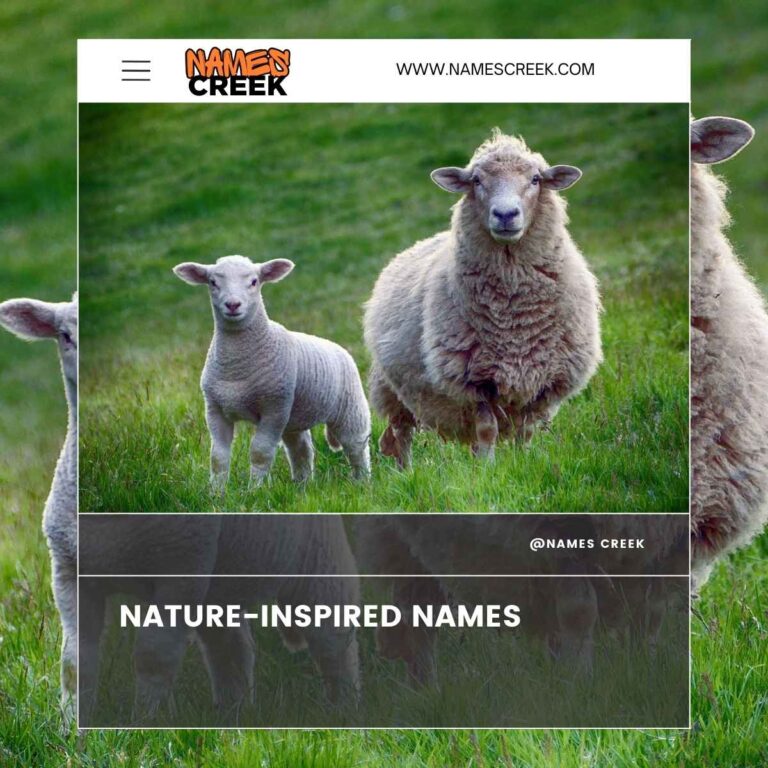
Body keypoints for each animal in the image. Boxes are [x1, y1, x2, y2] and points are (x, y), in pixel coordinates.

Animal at [78, 514, 361, 725]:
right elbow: (81, 660)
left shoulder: (181, 570)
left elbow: (153, 656)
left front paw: (144, 722)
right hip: (222, 579)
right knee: (231, 648)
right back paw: (232, 715)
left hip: (318, 558)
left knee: (332, 639)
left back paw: (343, 710)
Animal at [173, 255, 371, 488]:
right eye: (213, 282)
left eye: (254, 282)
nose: (233, 305)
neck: (235, 366)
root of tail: (339, 348)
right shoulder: (215, 409)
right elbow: (218, 457)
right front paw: (216, 492)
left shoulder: (274, 408)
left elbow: (260, 452)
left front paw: (254, 490)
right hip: (294, 418)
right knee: (301, 449)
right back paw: (302, 485)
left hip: (350, 407)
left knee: (356, 445)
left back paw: (363, 482)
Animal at [364, 128, 602, 466]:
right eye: (476, 180)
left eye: (535, 179)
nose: (505, 214)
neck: (514, 316)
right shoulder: (474, 381)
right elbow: (487, 430)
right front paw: (488, 468)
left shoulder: (543, 380)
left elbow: (526, 431)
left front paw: (522, 462)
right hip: (392, 390)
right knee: (401, 434)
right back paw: (406, 470)